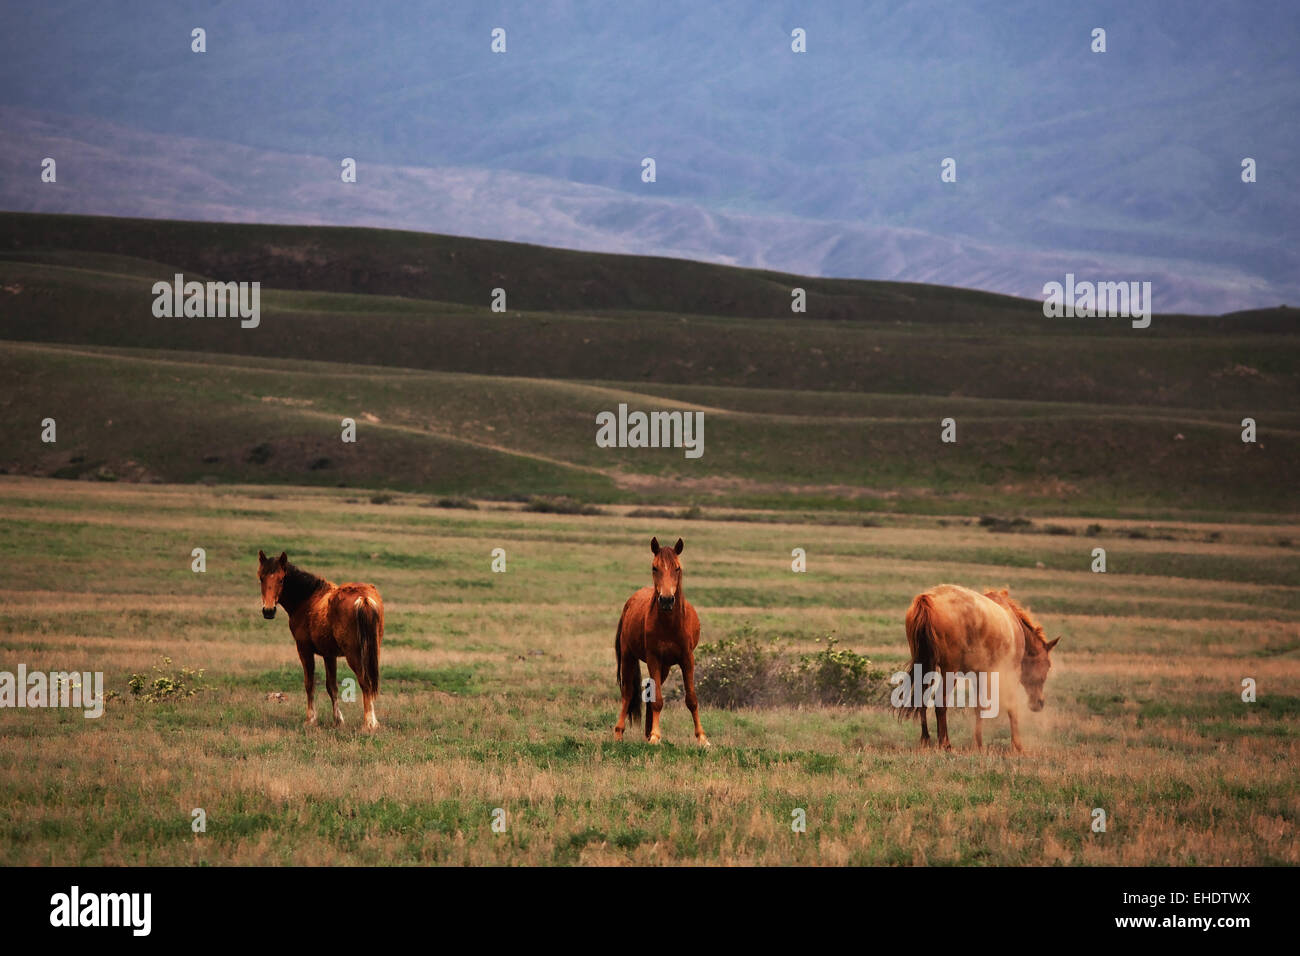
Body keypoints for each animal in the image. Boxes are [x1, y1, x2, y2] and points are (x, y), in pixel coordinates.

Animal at [256, 550, 384, 731]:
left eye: (281, 579)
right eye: (261, 578)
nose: (268, 610)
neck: (307, 600)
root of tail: (363, 598)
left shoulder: (304, 650)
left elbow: (309, 684)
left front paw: (310, 719)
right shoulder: (329, 655)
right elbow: (332, 687)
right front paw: (338, 720)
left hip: (354, 655)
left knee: (365, 682)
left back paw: (369, 723)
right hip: (373, 652)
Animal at [613, 537, 709, 747]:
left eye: (677, 568)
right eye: (654, 567)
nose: (666, 600)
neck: (669, 625)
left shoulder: (687, 659)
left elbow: (691, 699)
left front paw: (702, 737)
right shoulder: (653, 658)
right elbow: (657, 700)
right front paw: (656, 736)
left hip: (664, 667)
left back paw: (647, 732)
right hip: (628, 656)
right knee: (627, 693)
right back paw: (619, 733)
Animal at [899, 584, 1058, 752]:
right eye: (1047, 665)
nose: (1039, 703)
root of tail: (927, 600)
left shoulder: (978, 674)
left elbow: (979, 707)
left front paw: (979, 743)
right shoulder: (1010, 673)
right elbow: (1011, 707)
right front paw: (1017, 745)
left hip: (925, 666)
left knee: (922, 699)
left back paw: (926, 739)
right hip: (949, 671)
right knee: (940, 703)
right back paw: (945, 743)